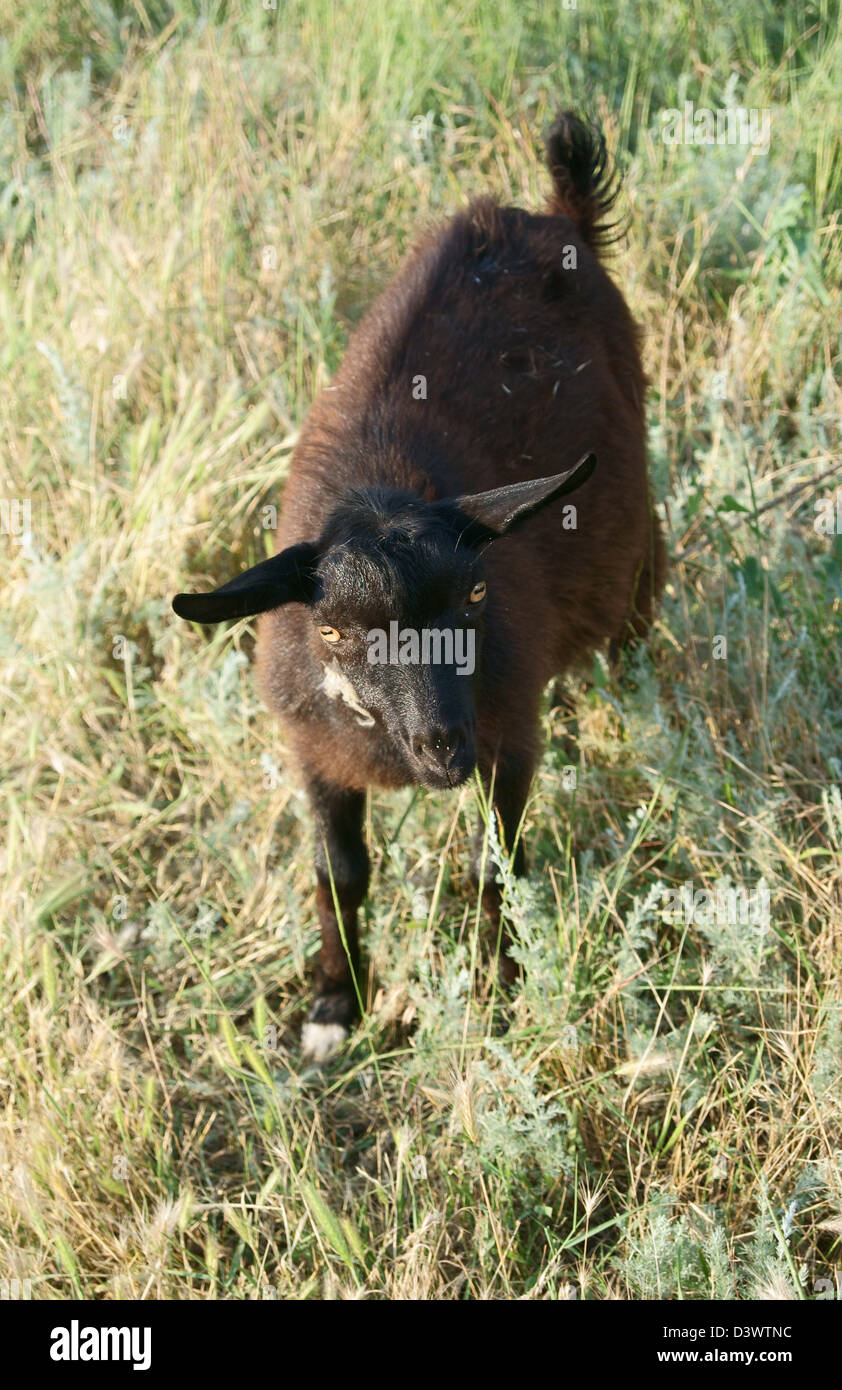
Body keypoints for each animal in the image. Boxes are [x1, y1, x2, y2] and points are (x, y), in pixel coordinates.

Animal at [173, 111, 665, 1062]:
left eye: (474, 599)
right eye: (331, 631)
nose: (444, 749)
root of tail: (550, 215)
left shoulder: (508, 731)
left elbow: (494, 862)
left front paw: (498, 989)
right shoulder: (314, 752)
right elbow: (338, 870)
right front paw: (334, 1006)